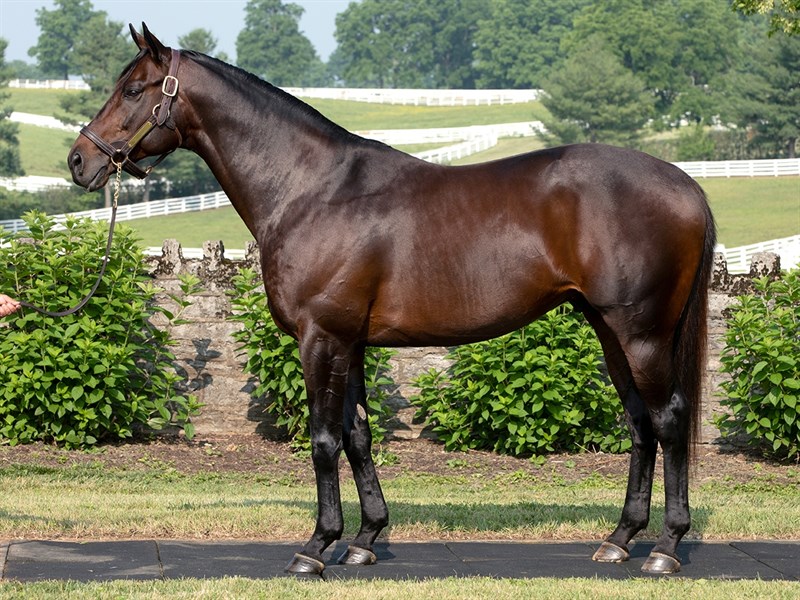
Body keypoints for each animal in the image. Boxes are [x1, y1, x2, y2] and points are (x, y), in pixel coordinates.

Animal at [68, 25, 715, 576]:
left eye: (132, 89)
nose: (80, 160)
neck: (312, 190)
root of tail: (685, 185)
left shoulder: (321, 338)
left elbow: (323, 440)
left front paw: (315, 547)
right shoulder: (350, 342)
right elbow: (357, 436)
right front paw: (364, 540)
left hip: (642, 333)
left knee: (668, 417)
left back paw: (666, 548)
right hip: (610, 331)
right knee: (640, 424)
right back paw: (620, 540)